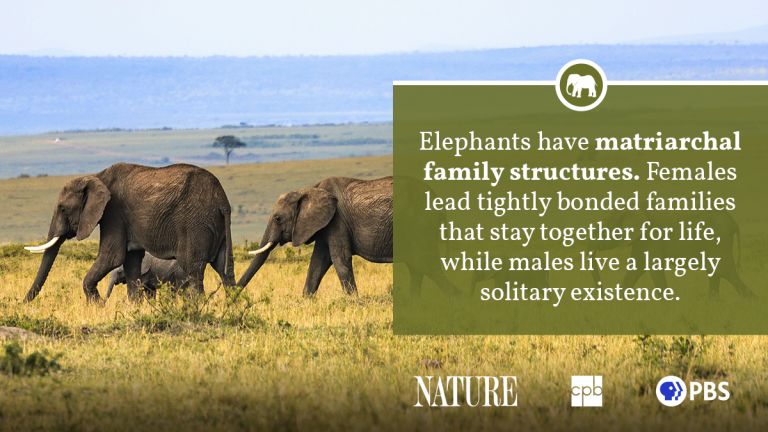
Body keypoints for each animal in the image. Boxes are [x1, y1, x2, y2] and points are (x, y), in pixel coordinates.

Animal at [24, 163, 235, 303]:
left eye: (63, 208)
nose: (23, 302)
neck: (97, 176)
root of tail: (222, 200)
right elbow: (131, 262)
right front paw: (135, 307)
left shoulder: (113, 213)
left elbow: (112, 257)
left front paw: (97, 306)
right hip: (216, 225)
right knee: (225, 269)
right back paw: (232, 308)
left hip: (195, 224)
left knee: (193, 269)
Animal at [238, 176, 392, 295]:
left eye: (277, 218)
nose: (233, 299)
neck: (309, 189)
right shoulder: (325, 225)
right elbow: (318, 261)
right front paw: (306, 301)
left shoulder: (337, 221)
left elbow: (340, 258)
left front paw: (353, 300)